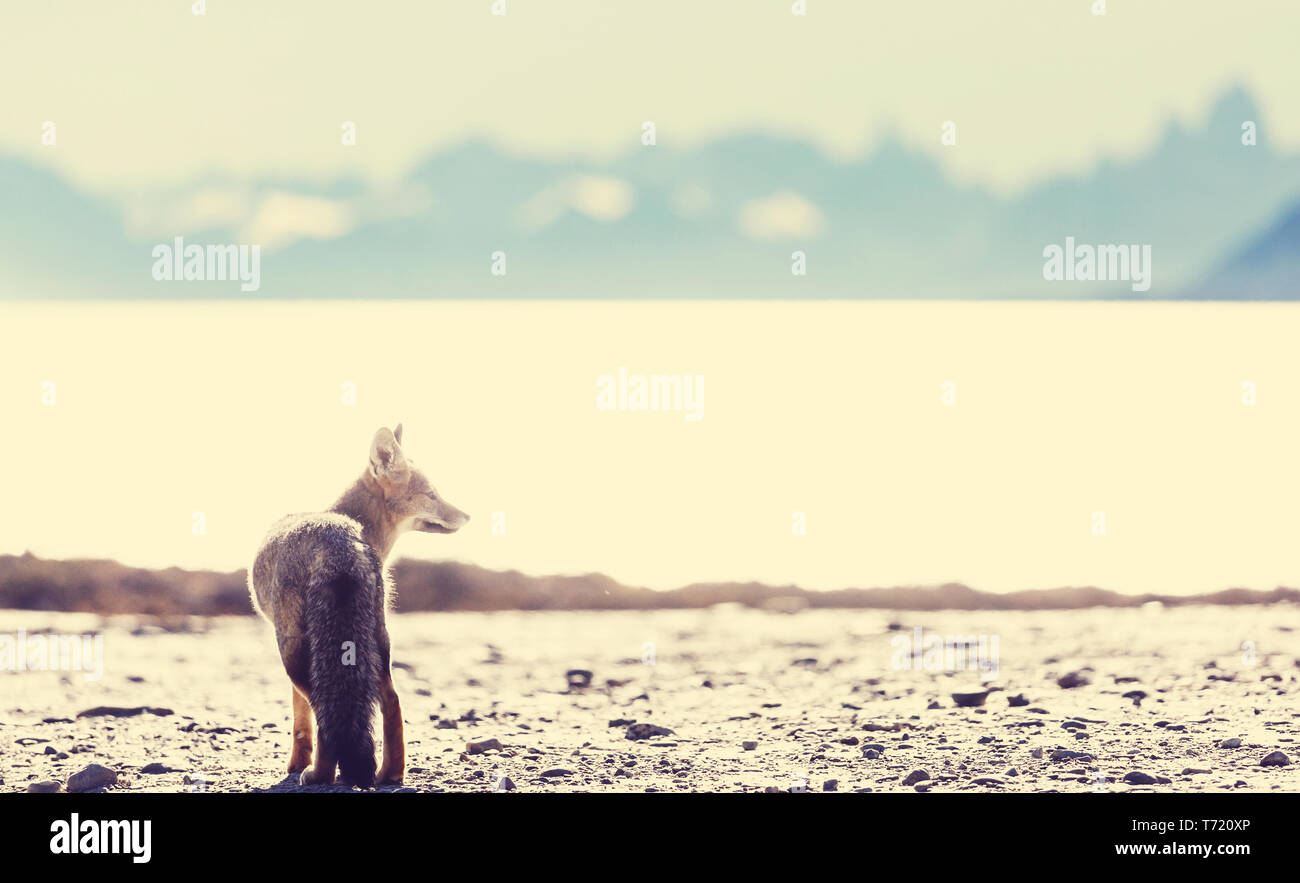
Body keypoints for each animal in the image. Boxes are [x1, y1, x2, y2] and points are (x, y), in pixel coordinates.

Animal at [248, 424, 468, 787]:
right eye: (432, 494)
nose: (468, 515)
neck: (351, 519)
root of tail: (338, 538)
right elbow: (300, 717)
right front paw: (297, 761)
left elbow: (302, 717)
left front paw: (298, 766)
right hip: (376, 640)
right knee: (391, 700)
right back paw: (389, 774)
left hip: (292, 649)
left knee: (325, 712)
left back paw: (321, 774)